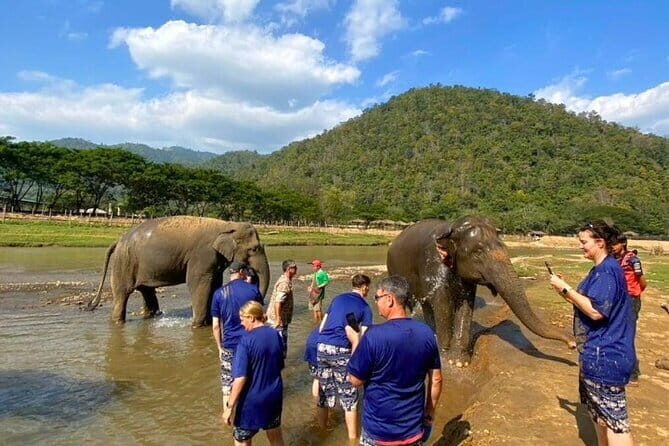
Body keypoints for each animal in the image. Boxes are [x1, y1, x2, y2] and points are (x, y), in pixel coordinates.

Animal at [85, 216, 270, 327]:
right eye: (254, 249)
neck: (228, 224)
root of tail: (118, 240)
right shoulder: (202, 254)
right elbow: (198, 282)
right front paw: (197, 325)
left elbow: (215, 282)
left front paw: (208, 323)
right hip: (125, 262)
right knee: (122, 293)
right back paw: (118, 322)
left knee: (147, 291)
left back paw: (151, 317)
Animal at [387, 216, 574, 366]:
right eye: (477, 253)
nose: (572, 343)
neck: (452, 227)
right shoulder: (433, 264)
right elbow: (443, 305)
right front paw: (444, 357)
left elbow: (465, 305)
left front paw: (459, 362)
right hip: (395, 271)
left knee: (426, 306)